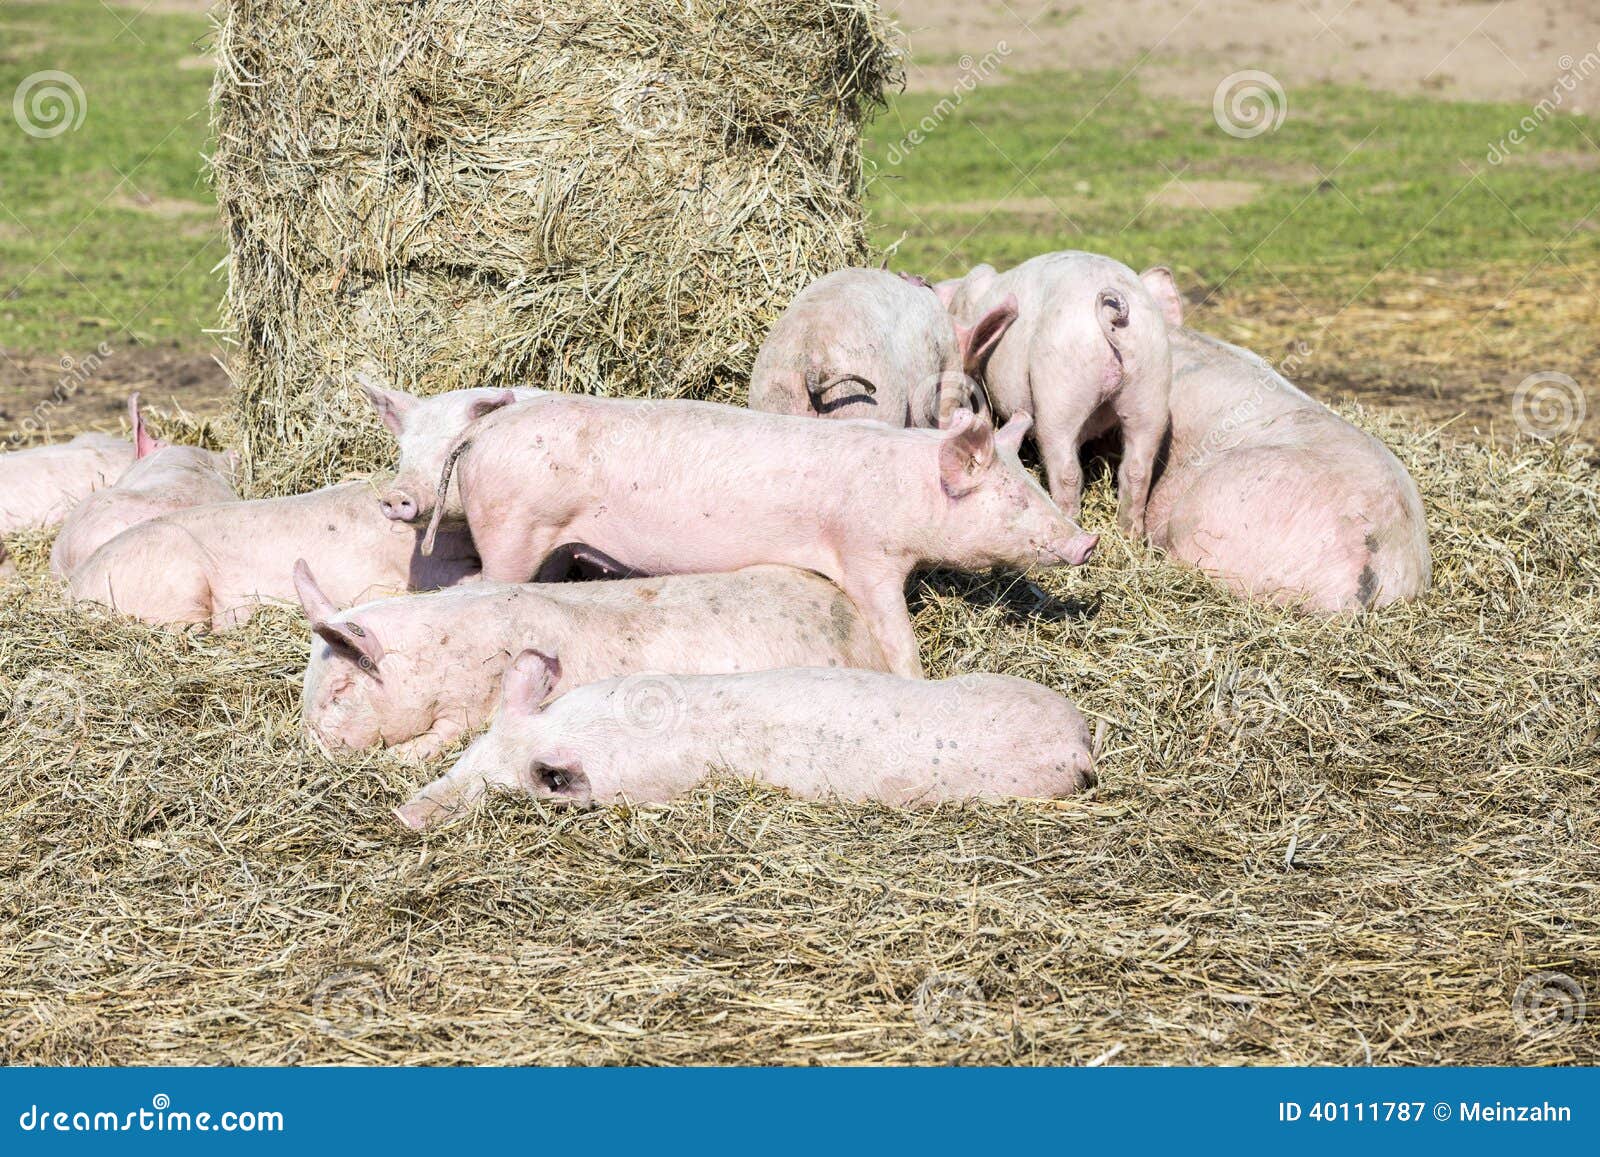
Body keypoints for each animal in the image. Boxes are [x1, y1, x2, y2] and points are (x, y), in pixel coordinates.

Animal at [295, 560, 889, 760]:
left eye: (341, 691)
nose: (313, 745)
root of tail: (859, 628)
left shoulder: (467, 706)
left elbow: (436, 741)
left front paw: (398, 758)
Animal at [419, 396, 1100, 678]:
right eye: (1015, 498)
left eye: (1031, 486)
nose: (1087, 542)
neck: (905, 491)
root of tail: (479, 433)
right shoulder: (865, 554)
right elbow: (893, 630)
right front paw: (917, 679)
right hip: (513, 526)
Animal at [748, 268, 1020, 427]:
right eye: (974, 397)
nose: (991, 424)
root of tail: (814, 359)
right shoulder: (949, 365)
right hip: (876, 405)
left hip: (773, 394)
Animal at [934, 251, 1184, 538]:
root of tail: (1111, 318)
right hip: (1150, 381)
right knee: (1137, 468)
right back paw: (1129, 534)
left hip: (1060, 386)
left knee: (1067, 470)